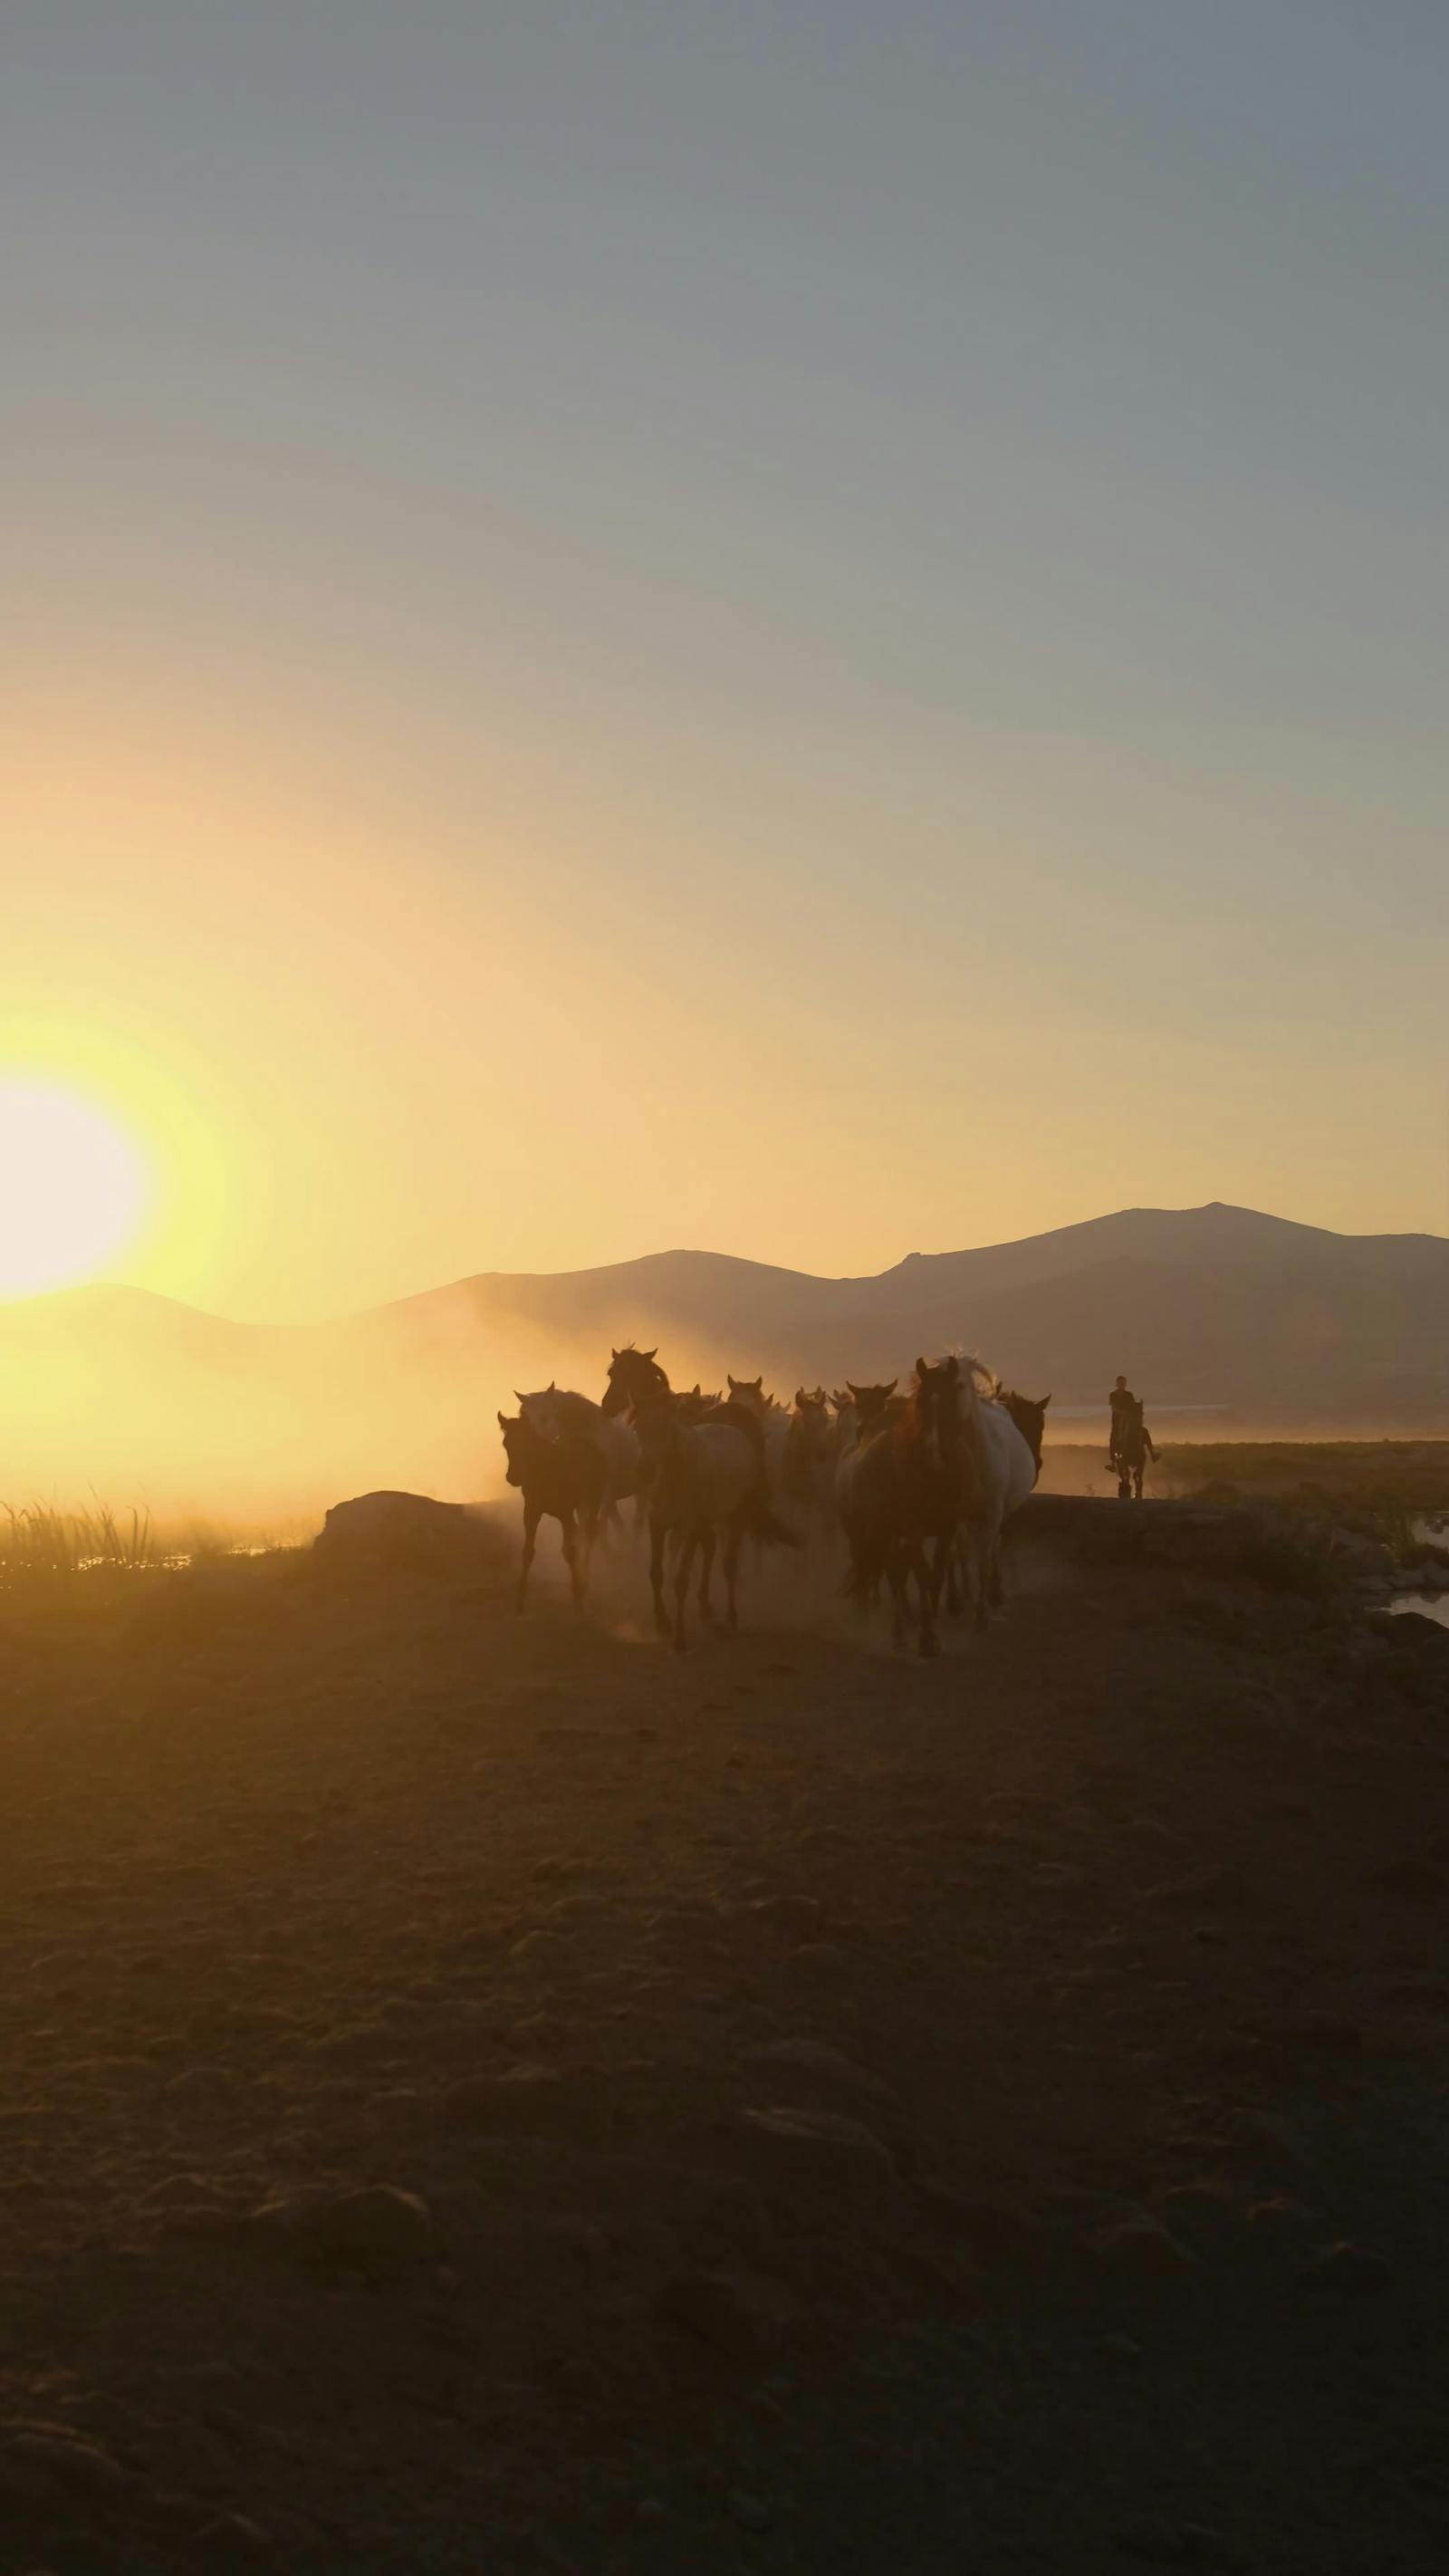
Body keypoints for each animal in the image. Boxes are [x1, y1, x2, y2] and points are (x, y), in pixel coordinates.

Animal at [497, 1411, 607, 1612]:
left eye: (526, 1442)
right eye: (506, 1443)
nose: (513, 1477)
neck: (545, 1471)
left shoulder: (565, 1513)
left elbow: (569, 1551)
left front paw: (577, 1596)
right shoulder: (531, 1512)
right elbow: (528, 1552)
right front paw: (519, 1601)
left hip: (593, 1500)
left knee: (589, 1536)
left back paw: (584, 1582)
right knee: (580, 1531)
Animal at [629, 1390, 800, 1649]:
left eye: (665, 1426)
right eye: (638, 1427)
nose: (645, 1470)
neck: (676, 1473)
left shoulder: (688, 1528)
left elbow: (681, 1581)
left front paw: (680, 1637)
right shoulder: (657, 1524)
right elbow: (656, 1573)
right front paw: (662, 1619)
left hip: (735, 1518)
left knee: (729, 1564)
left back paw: (731, 1618)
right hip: (705, 1520)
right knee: (710, 1548)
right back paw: (704, 1604)